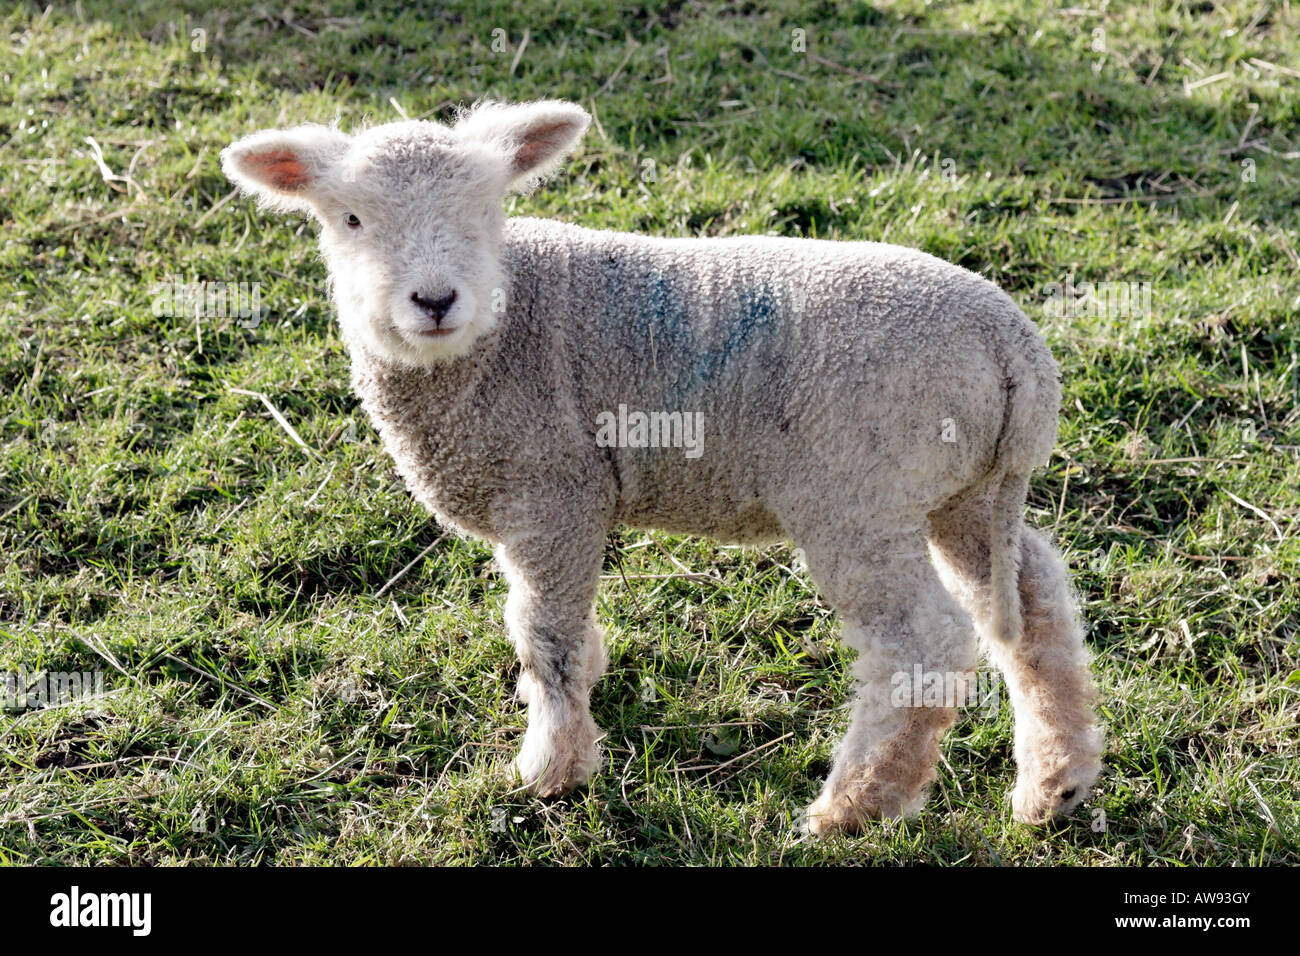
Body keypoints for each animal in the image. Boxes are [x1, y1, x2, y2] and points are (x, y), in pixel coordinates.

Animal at [226, 97, 1107, 832]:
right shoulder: (542, 506)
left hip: (858, 491)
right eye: (351, 219)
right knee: (1036, 604)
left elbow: (542, 631)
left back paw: (855, 806)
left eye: (484, 211)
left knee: (922, 643)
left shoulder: (555, 491)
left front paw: (554, 767)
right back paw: (1054, 784)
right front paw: (583, 690)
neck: (500, 330)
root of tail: (1015, 349)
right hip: (965, 491)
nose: (435, 301)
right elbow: (553, 625)